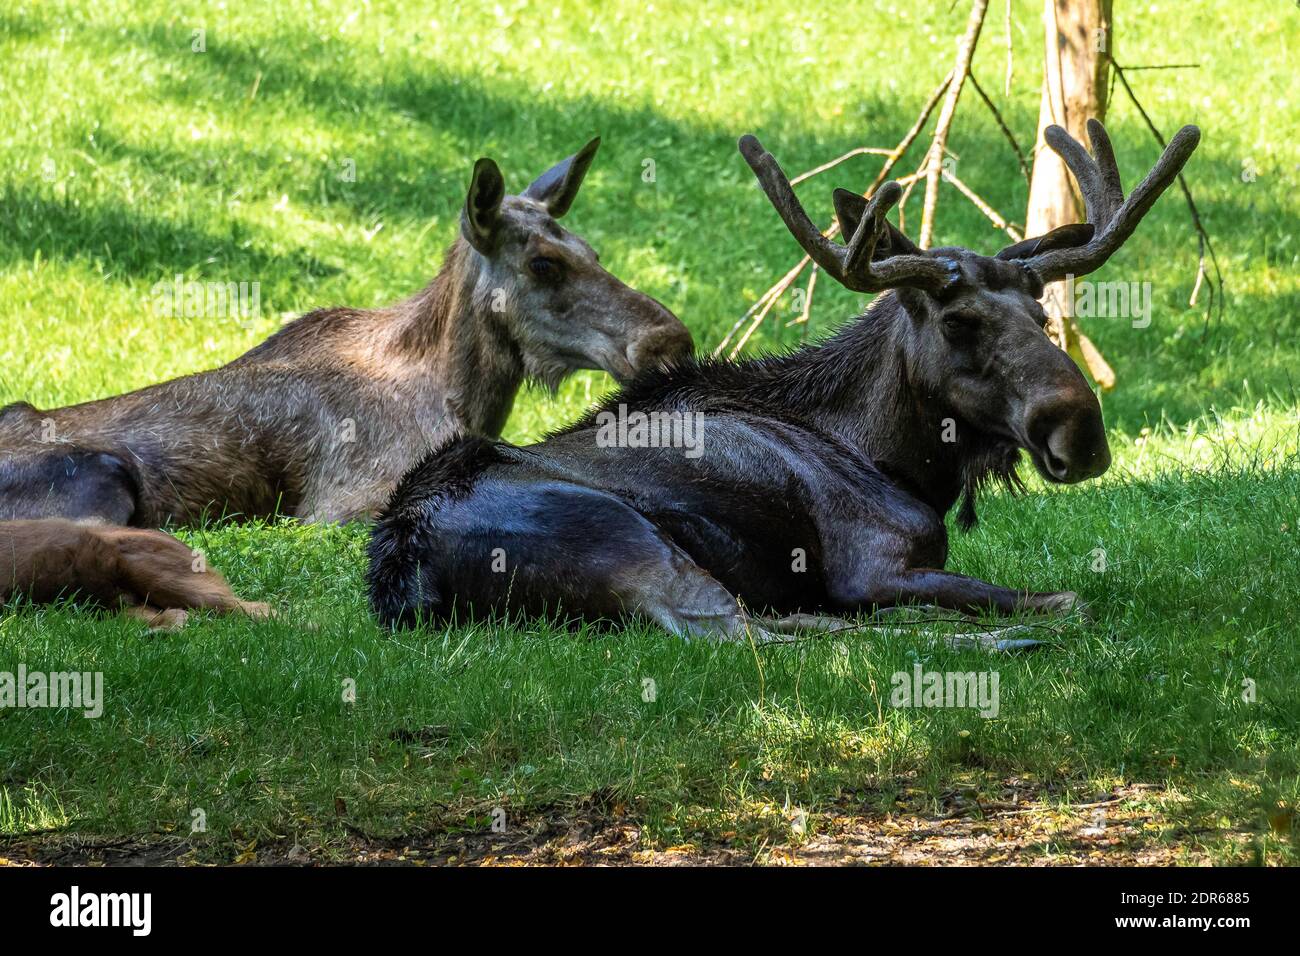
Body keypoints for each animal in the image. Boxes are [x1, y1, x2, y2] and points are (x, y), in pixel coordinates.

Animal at [0, 138, 693, 527]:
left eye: (594, 251)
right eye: (544, 263)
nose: (669, 341)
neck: (465, 394)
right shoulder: (341, 507)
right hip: (102, 479)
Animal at [366, 119, 1199, 649]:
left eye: (1041, 312)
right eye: (960, 321)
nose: (1079, 431)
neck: (902, 459)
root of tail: (399, 566)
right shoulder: (874, 563)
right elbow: (1059, 597)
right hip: (630, 542)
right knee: (739, 634)